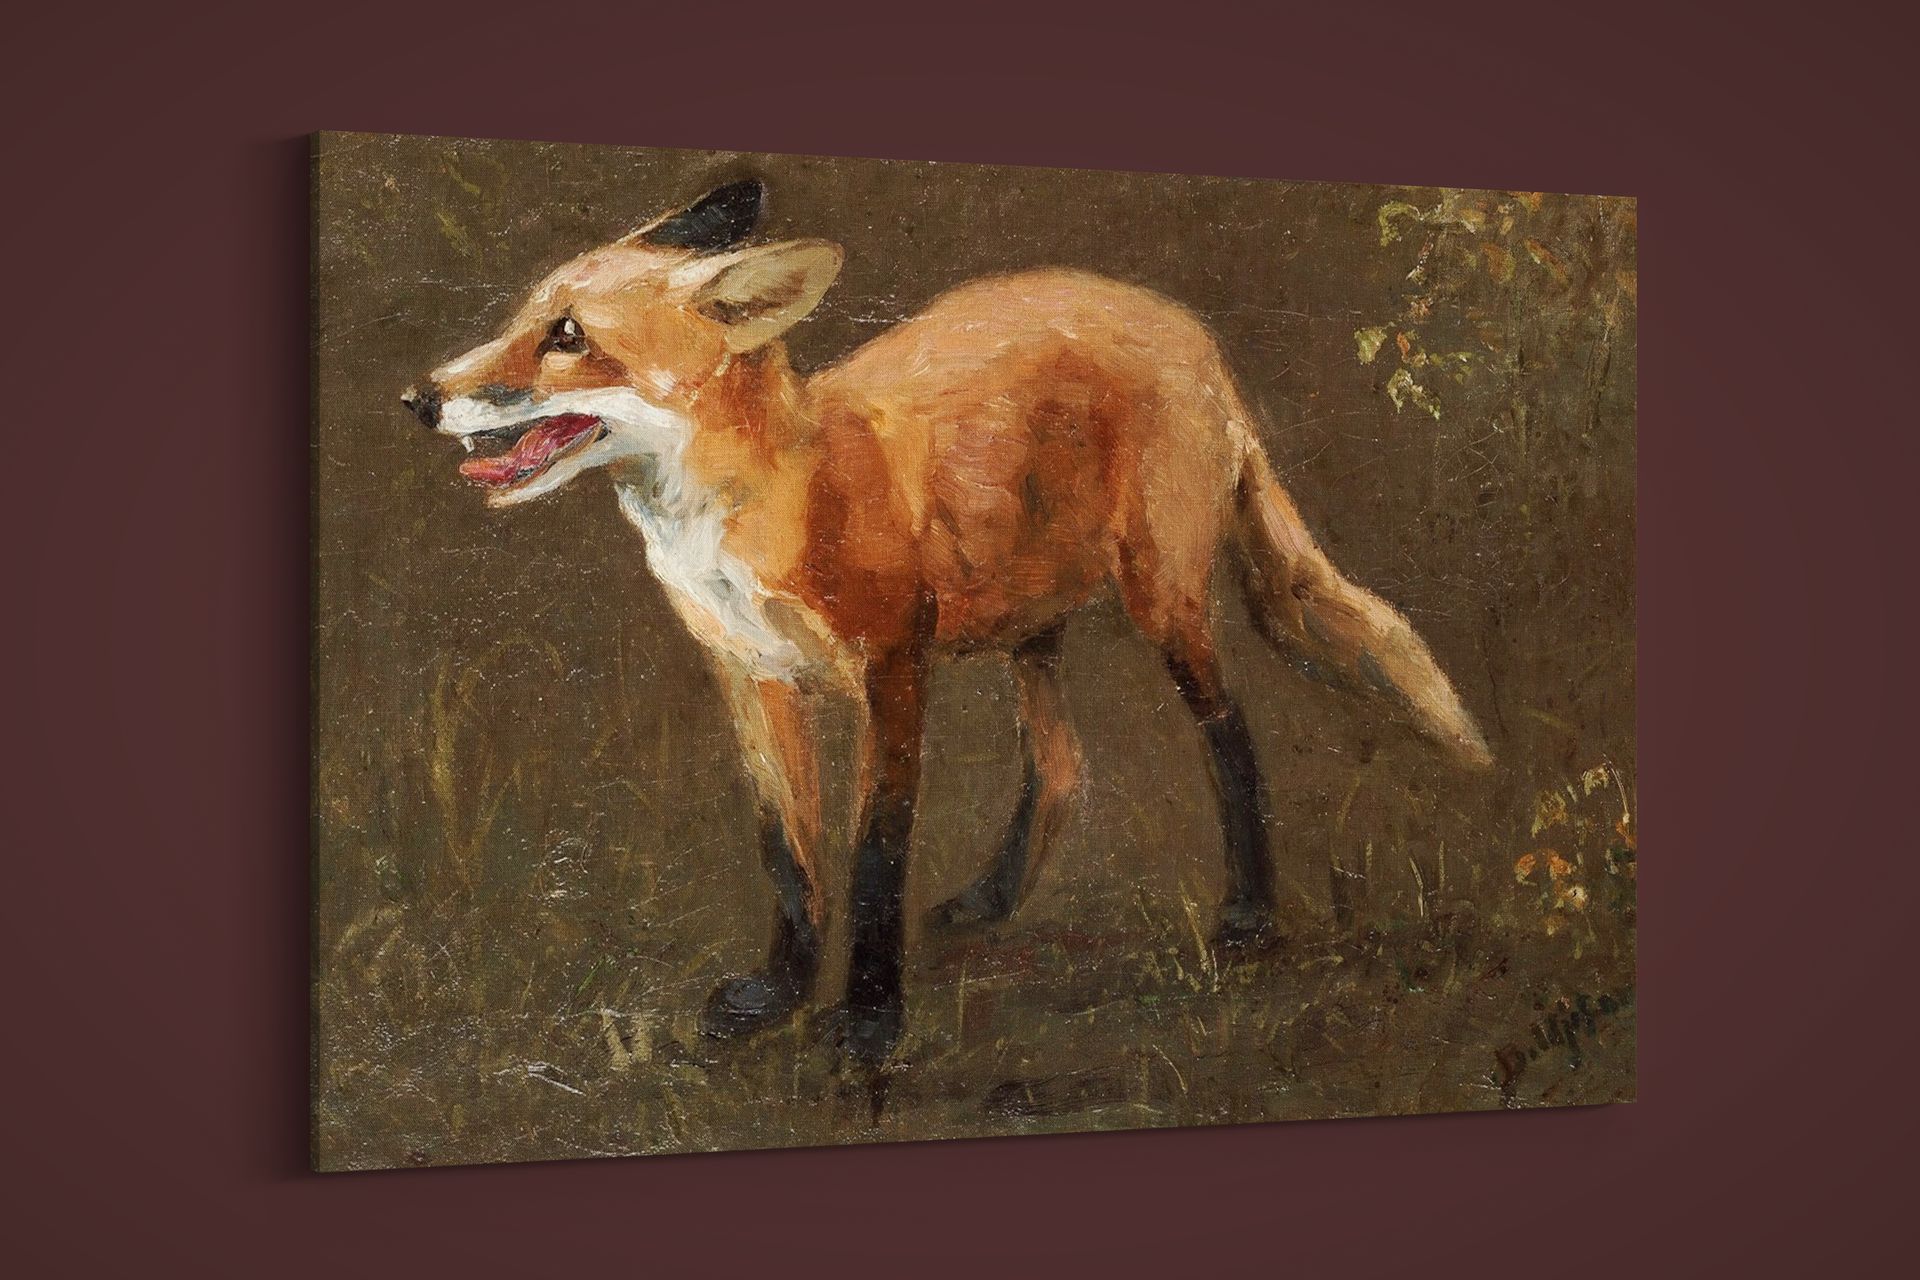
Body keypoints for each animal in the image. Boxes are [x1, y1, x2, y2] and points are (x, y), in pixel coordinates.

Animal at [402, 179, 1492, 1067]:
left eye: (570, 337)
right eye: (524, 317)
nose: (418, 397)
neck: (769, 503)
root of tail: (1180, 323)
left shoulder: (893, 672)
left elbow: (874, 857)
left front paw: (869, 1022)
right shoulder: (755, 680)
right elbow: (790, 860)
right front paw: (779, 995)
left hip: (1162, 605)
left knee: (1231, 738)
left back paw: (1249, 915)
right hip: (1026, 624)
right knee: (1062, 765)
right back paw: (991, 901)